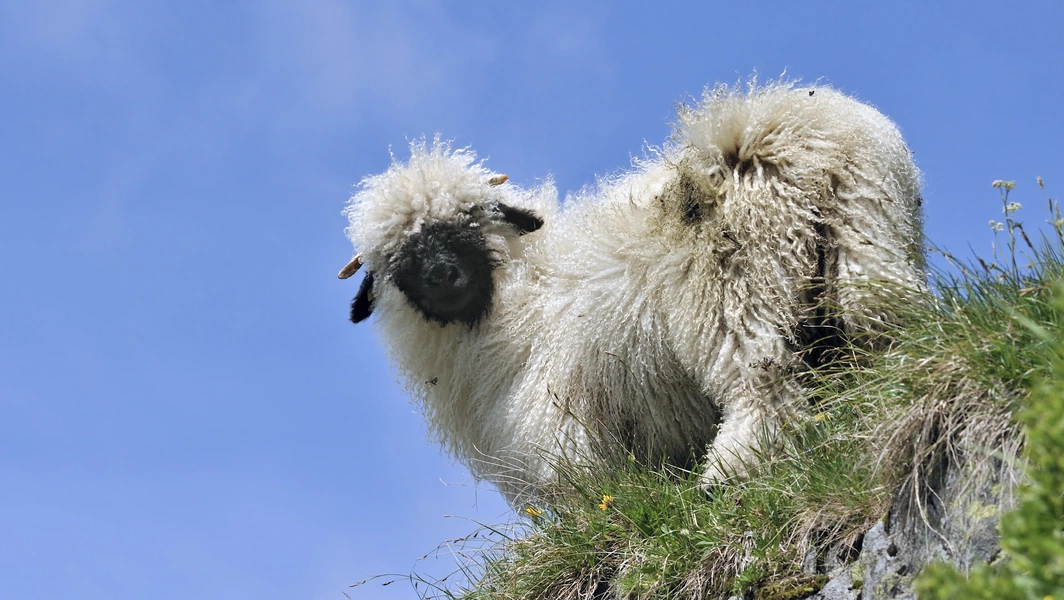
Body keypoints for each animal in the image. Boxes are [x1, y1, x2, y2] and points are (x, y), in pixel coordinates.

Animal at [341, 81, 925, 505]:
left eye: (468, 222)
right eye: (397, 259)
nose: (443, 275)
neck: (514, 298)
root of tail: (793, 134)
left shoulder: (562, 431)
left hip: (737, 292)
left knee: (765, 384)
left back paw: (728, 474)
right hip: (866, 234)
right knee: (879, 323)